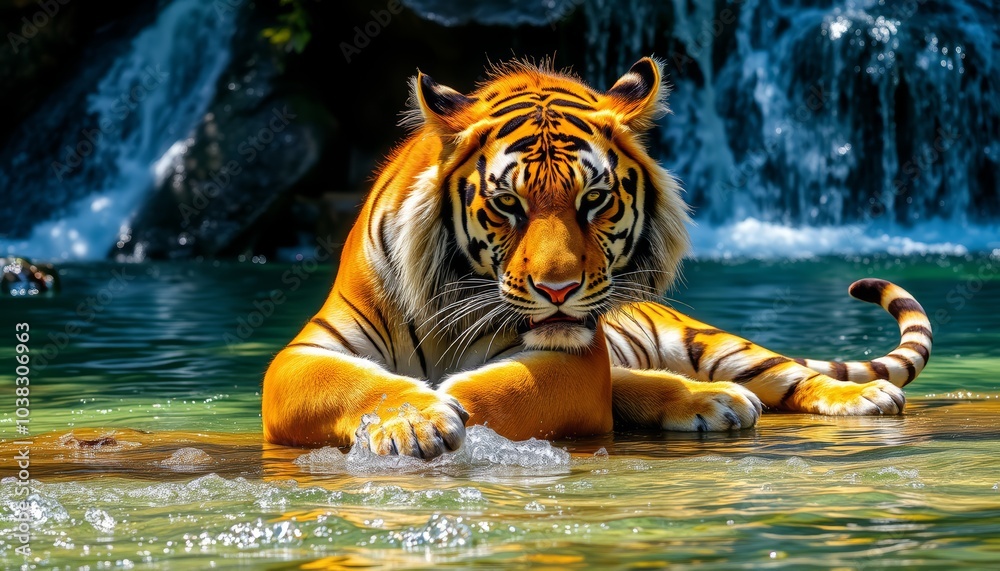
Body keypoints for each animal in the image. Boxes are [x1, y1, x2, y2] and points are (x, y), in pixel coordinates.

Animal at [262, 57, 933, 457]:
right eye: (507, 204)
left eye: (594, 199)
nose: (558, 291)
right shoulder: (302, 355)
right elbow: (356, 384)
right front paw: (414, 419)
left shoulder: (578, 360)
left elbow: (502, 391)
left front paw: (441, 406)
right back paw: (712, 403)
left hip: (710, 343)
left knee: (791, 376)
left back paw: (852, 398)